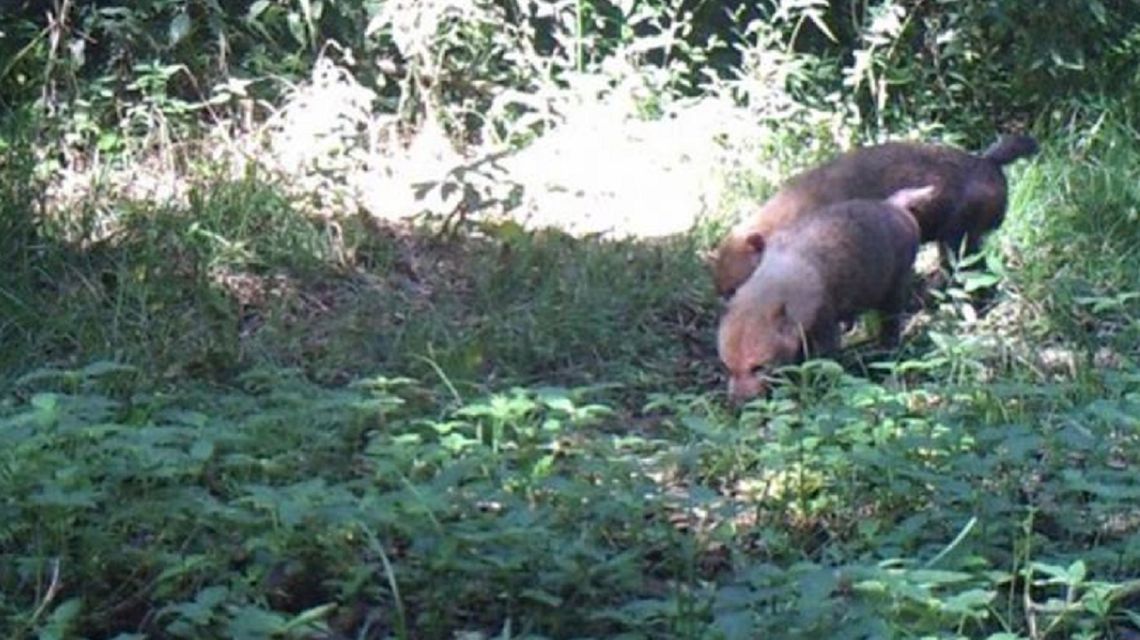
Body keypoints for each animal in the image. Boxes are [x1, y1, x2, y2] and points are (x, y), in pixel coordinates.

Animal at [717, 186, 933, 403]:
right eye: (728, 367)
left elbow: (823, 360)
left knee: (891, 320)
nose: (738, 403)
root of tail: (896, 207)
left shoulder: (824, 320)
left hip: (896, 285)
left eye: (758, 367)